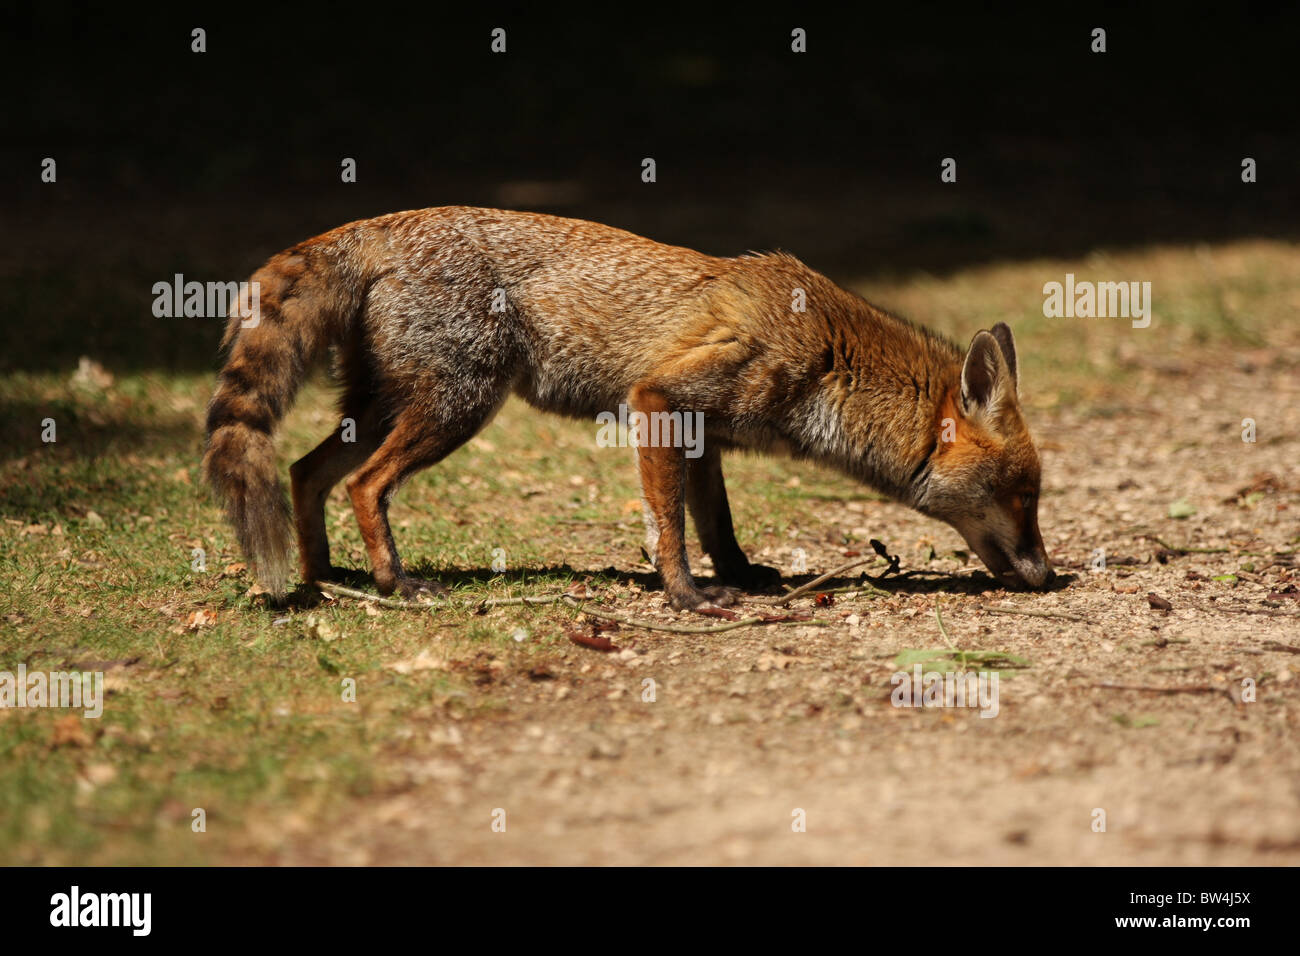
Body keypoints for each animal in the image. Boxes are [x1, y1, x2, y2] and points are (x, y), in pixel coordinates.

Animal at [203, 206, 1053, 611]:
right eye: (1023, 496)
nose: (1049, 576)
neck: (826, 351)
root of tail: (376, 226)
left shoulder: (703, 432)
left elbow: (717, 525)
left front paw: (741, 578)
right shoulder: (660, 401)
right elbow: (670, 526)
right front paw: (686, 597)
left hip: (386, 410)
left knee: (305, 472)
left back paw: (326, 578)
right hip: (454, 407)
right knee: (362, 484)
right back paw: (395, 583)